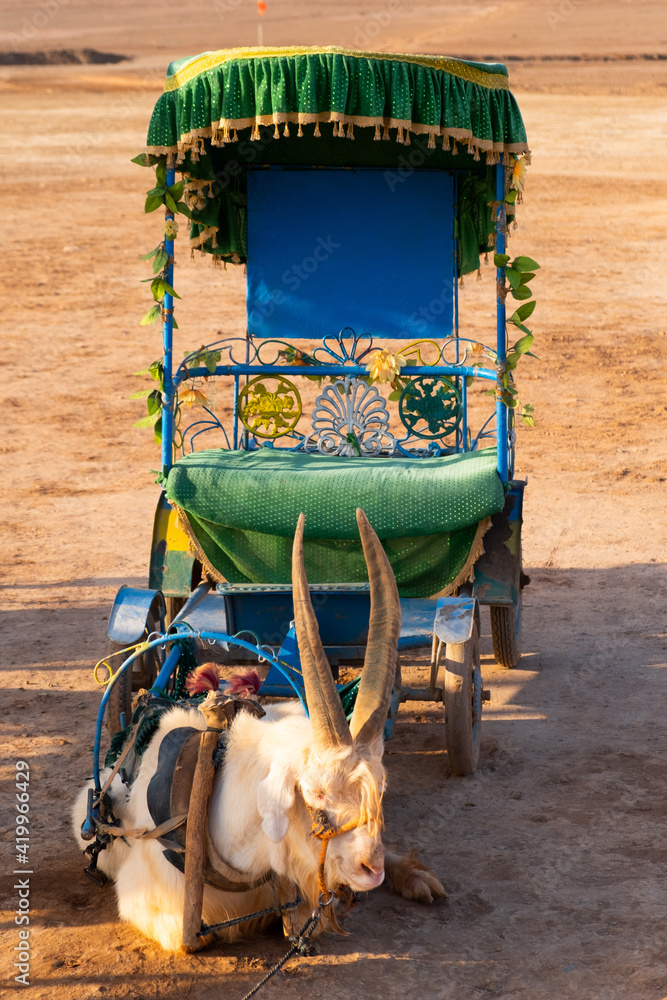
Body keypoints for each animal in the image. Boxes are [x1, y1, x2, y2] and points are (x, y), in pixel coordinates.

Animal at [73, 509, 445, 952]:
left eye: (380, 790)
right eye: (315, 792)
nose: (369, 869)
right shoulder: (149, 900)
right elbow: (191, 937)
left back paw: (419, 879)